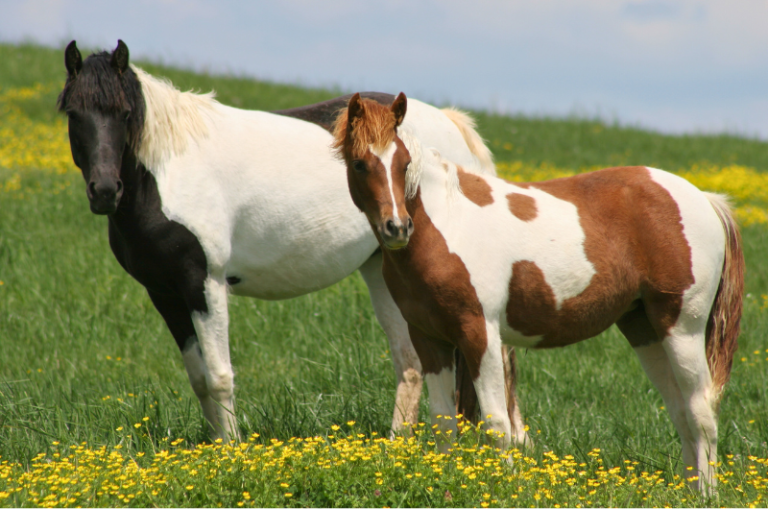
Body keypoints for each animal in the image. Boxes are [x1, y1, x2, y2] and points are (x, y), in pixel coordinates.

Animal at [56, 40, 524, 442]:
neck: (168, 169)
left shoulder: (204, 284)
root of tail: (451, 125)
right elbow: (199, 379)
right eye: (73, 114)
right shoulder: (165, 293)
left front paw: (232, 450)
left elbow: (220, 376)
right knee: (410, 364)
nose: (104, 191)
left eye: (124, 113)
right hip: (384, 269)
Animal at [332, 92, 744, 494]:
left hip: (682, 328)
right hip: (646, 329)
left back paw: (706, 495)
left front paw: (502, 487)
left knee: (701, 413)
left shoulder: (480, 333)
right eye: (359, 164)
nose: (397, 227)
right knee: (681, 412)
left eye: (403, 164)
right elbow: (443, 422)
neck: (447, 224)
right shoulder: (429, 338)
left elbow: (497, 423)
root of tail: (705, 199)